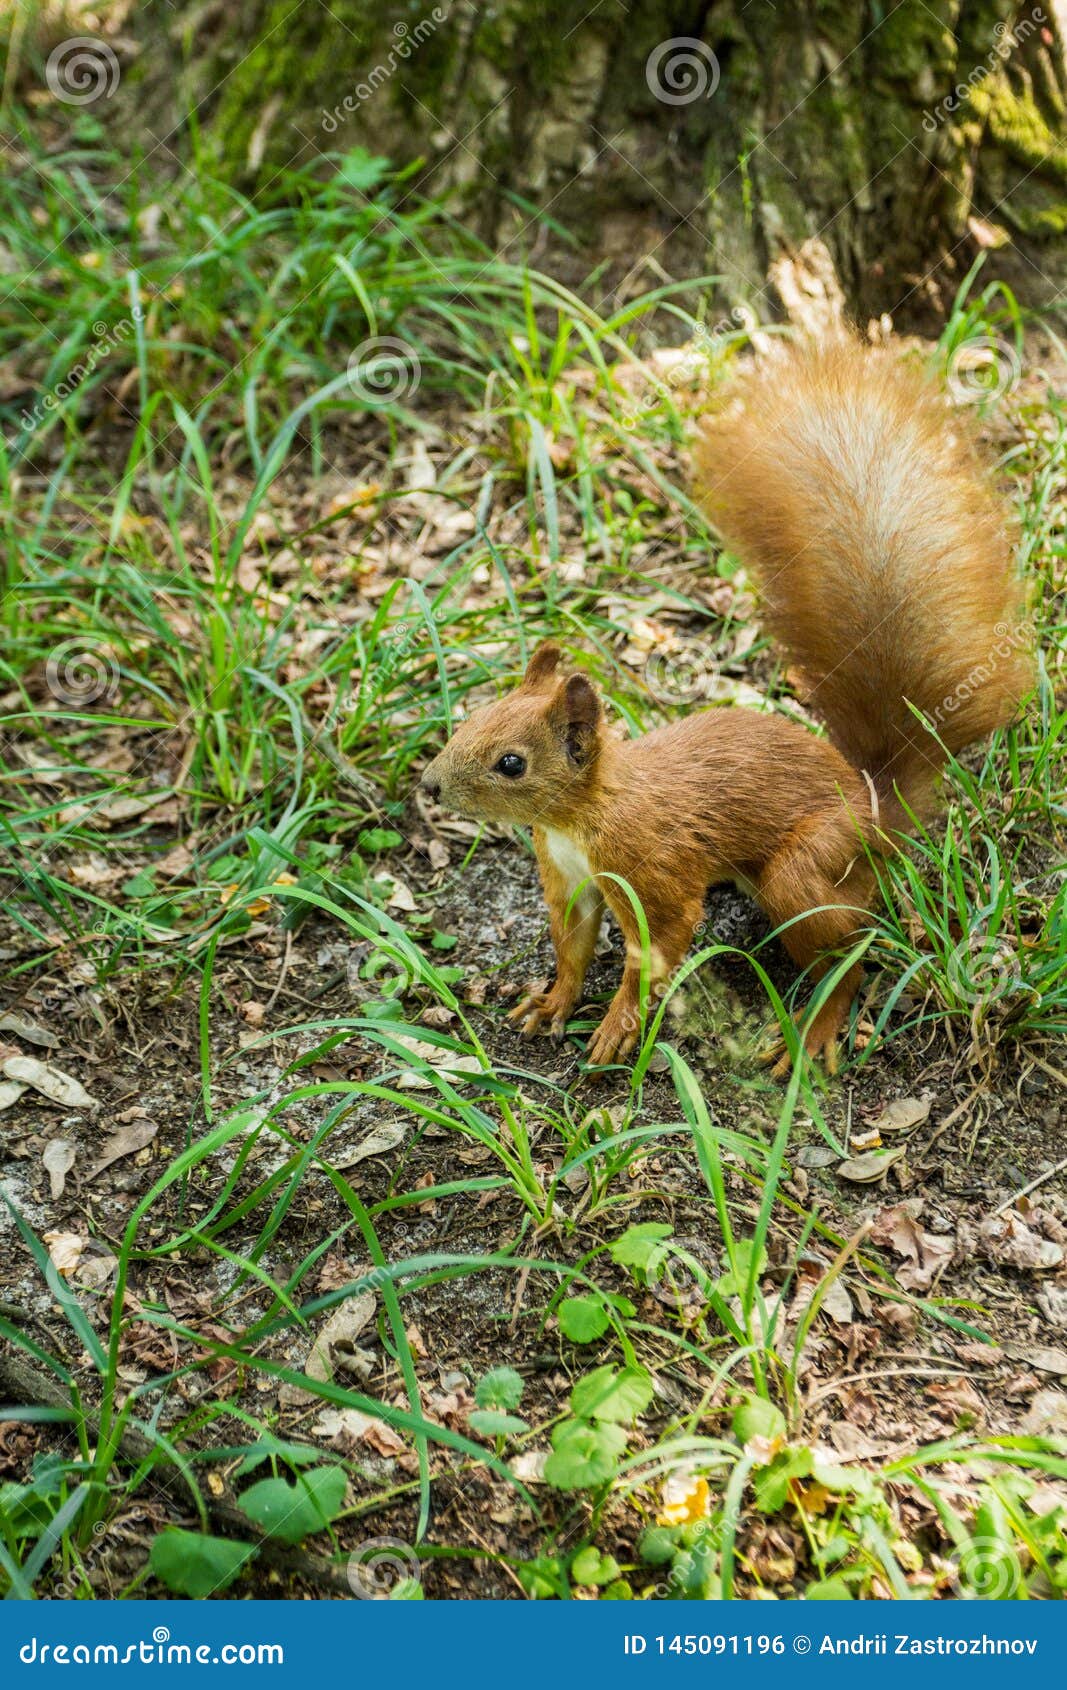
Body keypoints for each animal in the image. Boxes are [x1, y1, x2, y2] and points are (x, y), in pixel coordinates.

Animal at [419, 338, 1033, 1073]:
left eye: (511, 763)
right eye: (471, 720)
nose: (430, 786)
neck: (581, 816)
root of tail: (875, 808)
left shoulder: (651, 866)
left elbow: (657, 946)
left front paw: (618, 1026)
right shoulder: (567, 878)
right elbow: (571, 947)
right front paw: (552, 1003)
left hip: (805, 867)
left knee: (848, 958)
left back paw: (815, 1031)